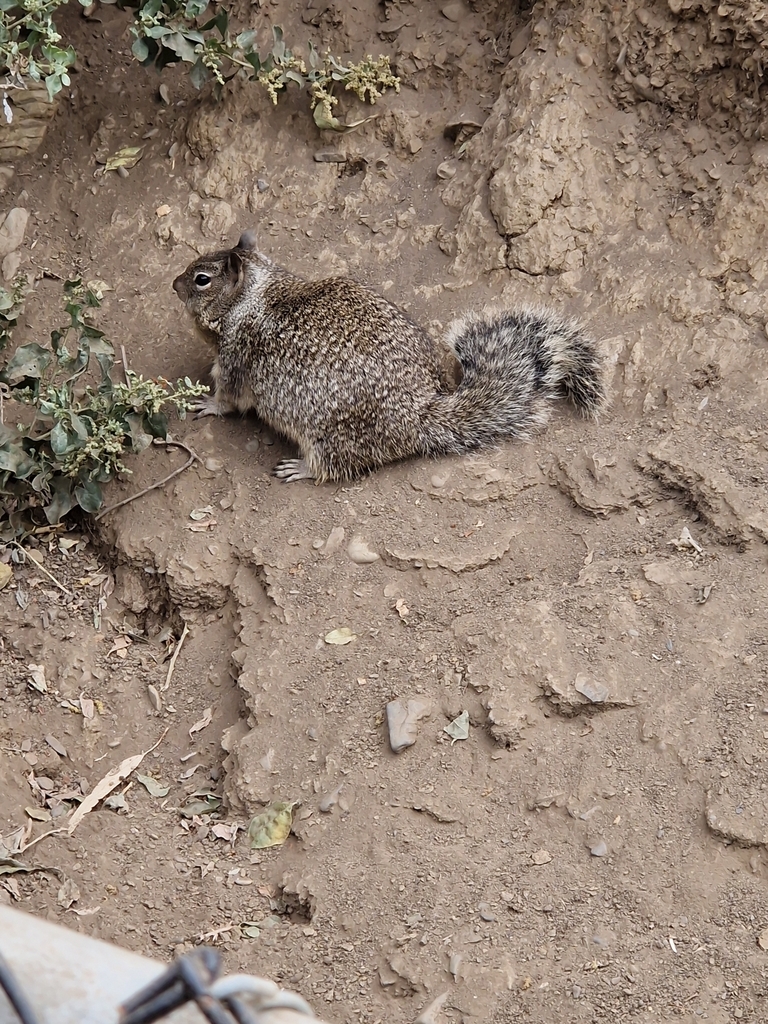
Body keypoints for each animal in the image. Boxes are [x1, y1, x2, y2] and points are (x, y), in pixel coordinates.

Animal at [172, 231, 607, 483]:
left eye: (202, 279)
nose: (173, 284)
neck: (252, 297)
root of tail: (422, 416)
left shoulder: (235, 359)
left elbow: (230, 397)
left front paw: (207, 403)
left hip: (330, 435)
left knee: (334, 467)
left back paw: (301, 468)